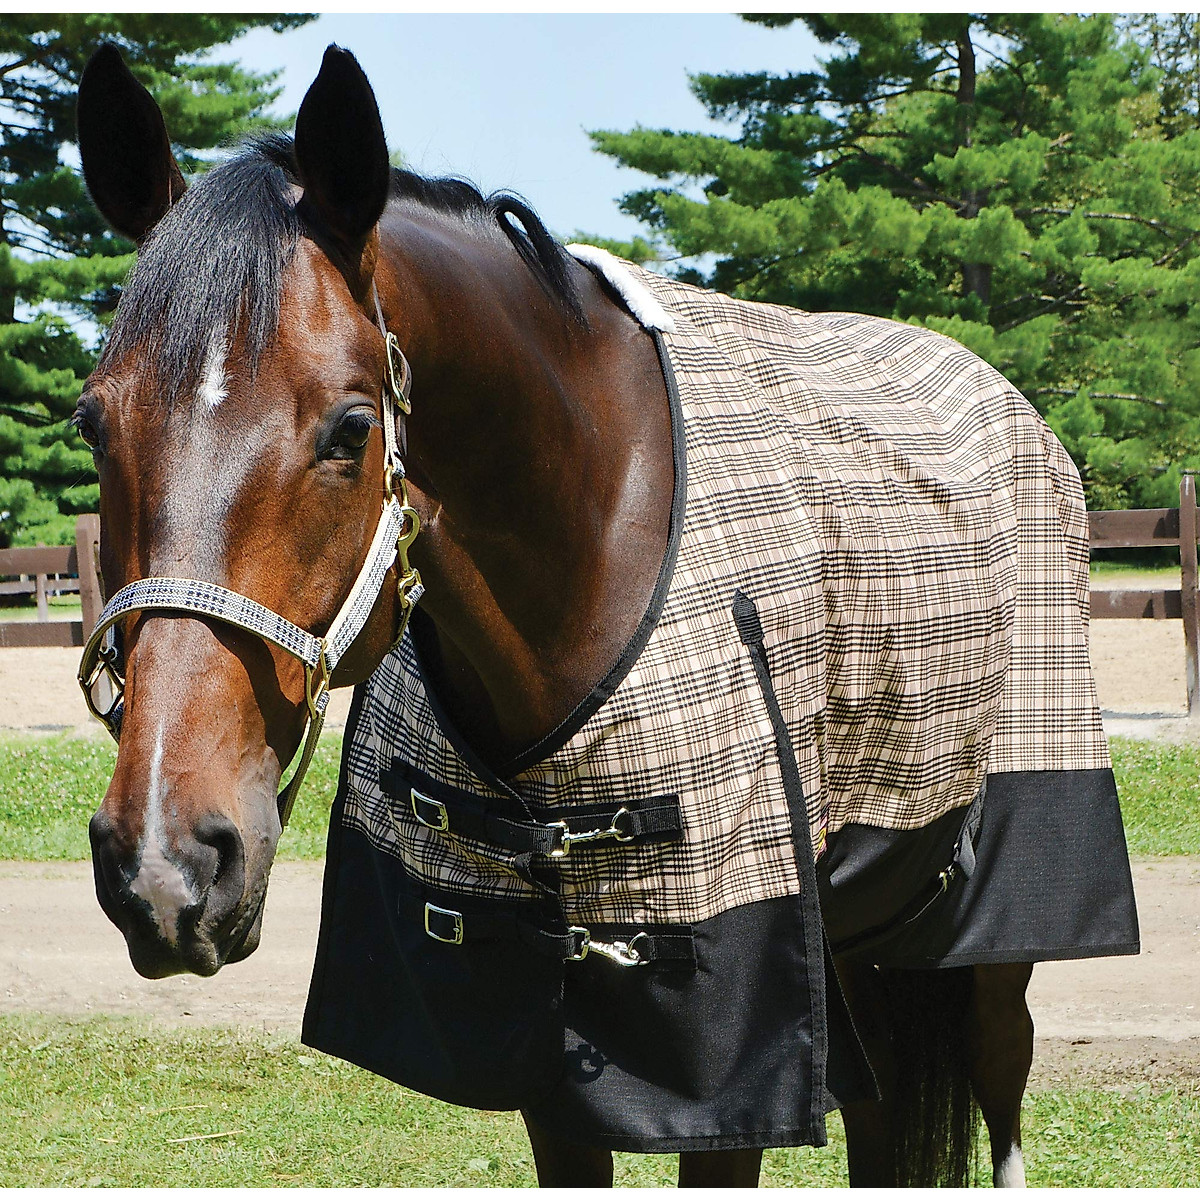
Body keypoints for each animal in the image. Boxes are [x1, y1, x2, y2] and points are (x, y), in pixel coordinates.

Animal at [73, 44, 1139, 1188]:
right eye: (95, 423)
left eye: (351, 431)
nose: (165, 860)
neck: (596, 524)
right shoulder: (538, 1048)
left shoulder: (731, 1044)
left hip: (991, 916)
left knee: (998, 1075)